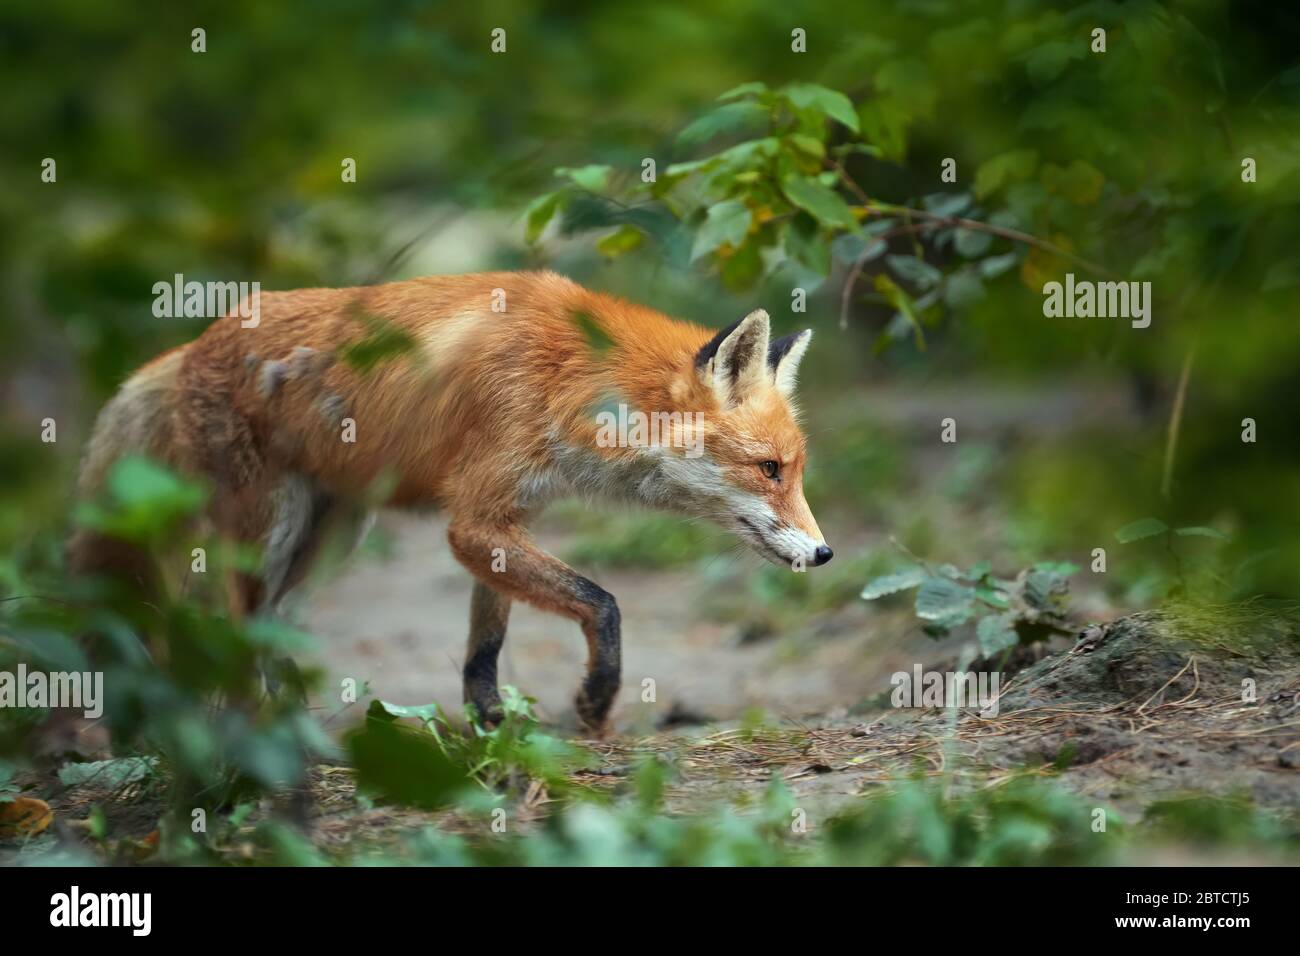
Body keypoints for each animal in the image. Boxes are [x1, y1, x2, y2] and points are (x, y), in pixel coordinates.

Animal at [68, 270, 831, 734]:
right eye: (768, 469)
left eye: (796, 472)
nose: (825, 553)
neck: (572, 379)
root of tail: (188, 347)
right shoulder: (474, 518)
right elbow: (603, 601)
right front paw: (594, 698)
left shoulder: (506, 517)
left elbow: (484, 645)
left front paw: (492, 726)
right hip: (266, 536)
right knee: (228, 630)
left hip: (333, 536)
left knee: (272, 628)